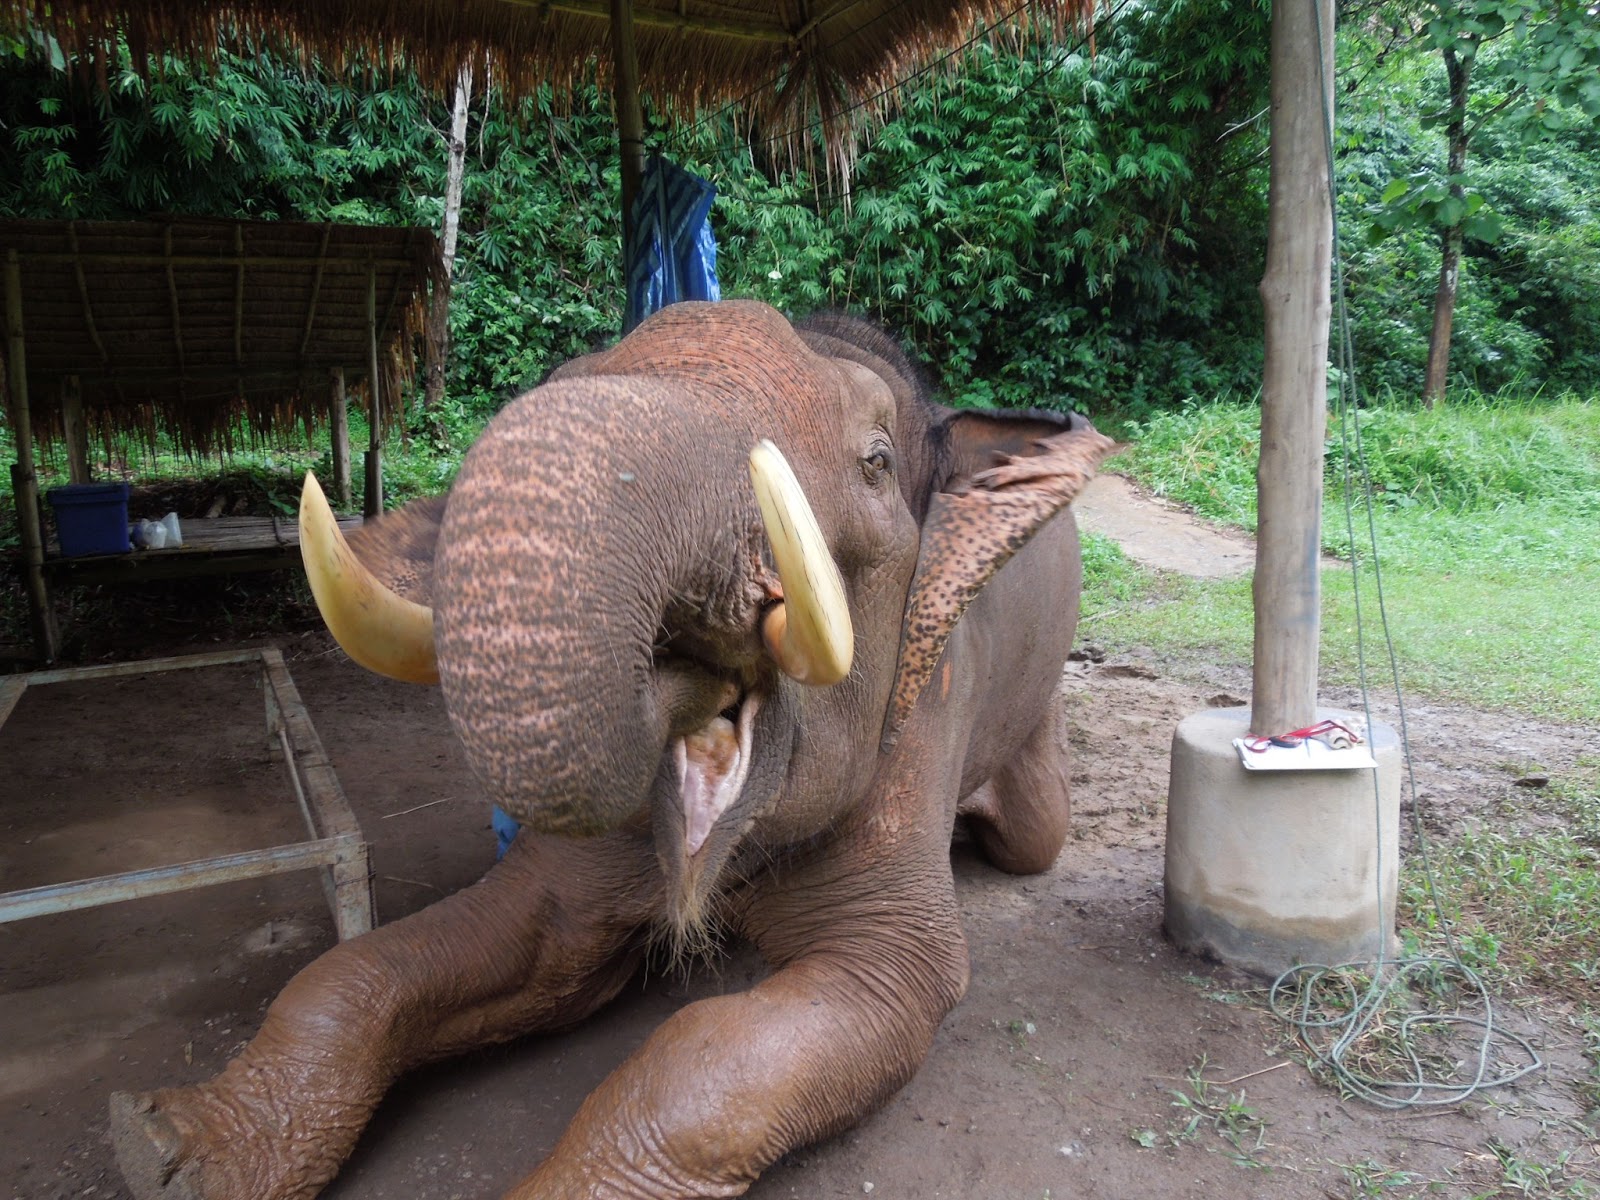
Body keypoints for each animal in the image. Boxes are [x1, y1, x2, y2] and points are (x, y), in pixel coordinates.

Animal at [109, 299, 1114, 1200]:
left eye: (875, 462)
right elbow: (442, 954)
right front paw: (164, 1150)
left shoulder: (920, 738)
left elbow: (793, 1018)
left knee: (1035, 835)